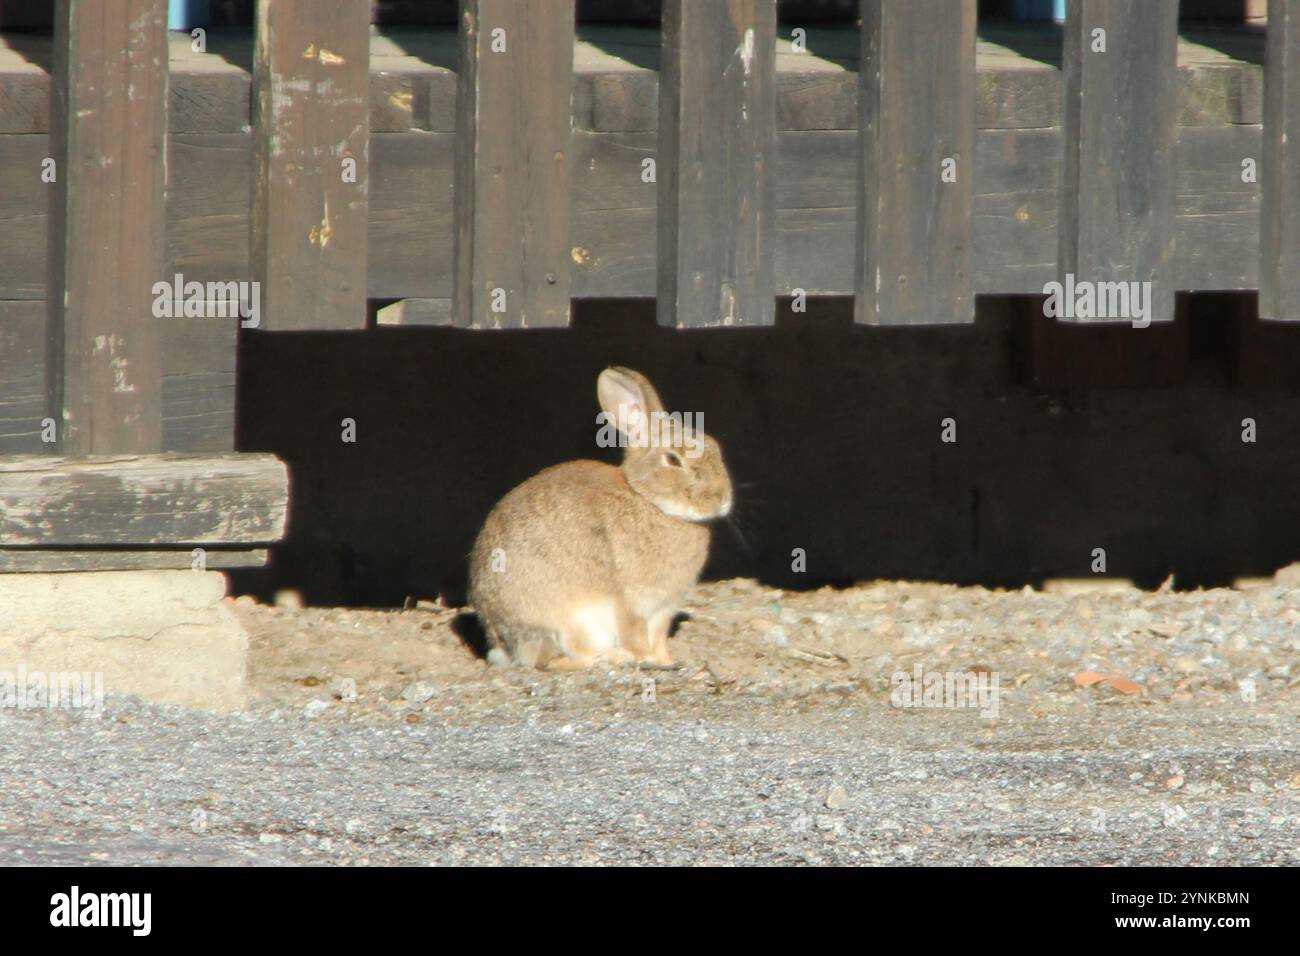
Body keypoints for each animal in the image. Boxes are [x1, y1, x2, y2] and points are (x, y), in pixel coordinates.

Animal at [468, 366, 733, 670]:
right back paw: (611, 657)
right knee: (551, 661)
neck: (648, 500)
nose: (722, 499)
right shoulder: (629, 602)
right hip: (569, 621)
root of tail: (501, 644)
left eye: (715, 448)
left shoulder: (662, 609)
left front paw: (665, 660)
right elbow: (635, 635)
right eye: (673, 460)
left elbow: (659, 637)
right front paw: (645, 659)